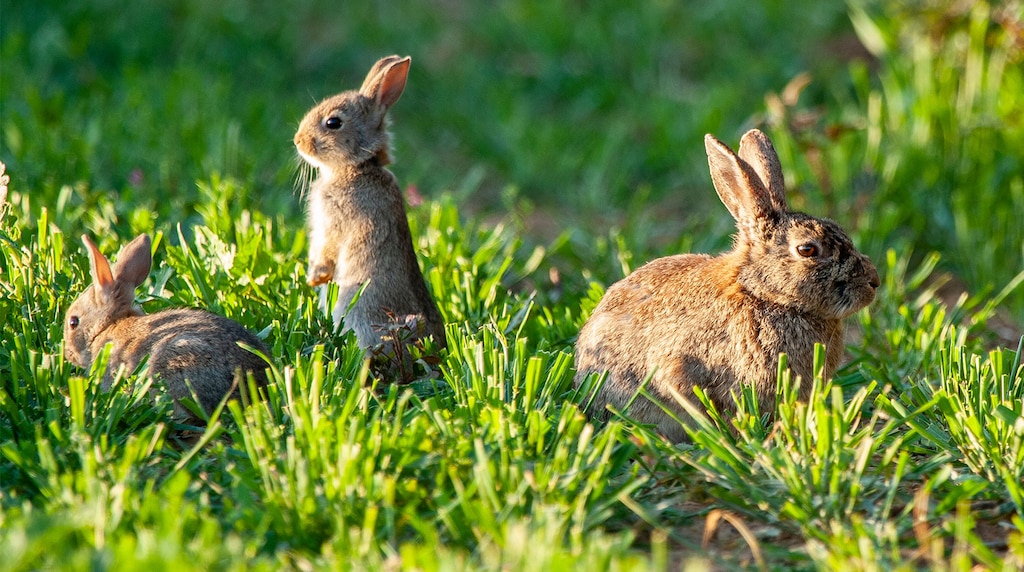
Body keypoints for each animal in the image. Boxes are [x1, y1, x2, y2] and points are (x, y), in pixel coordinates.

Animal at [293, 55, 446, 376]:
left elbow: (326, 251)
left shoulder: (335, 225)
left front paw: (315, 278)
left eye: (333, 123)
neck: (357, 167)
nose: (298, 140)